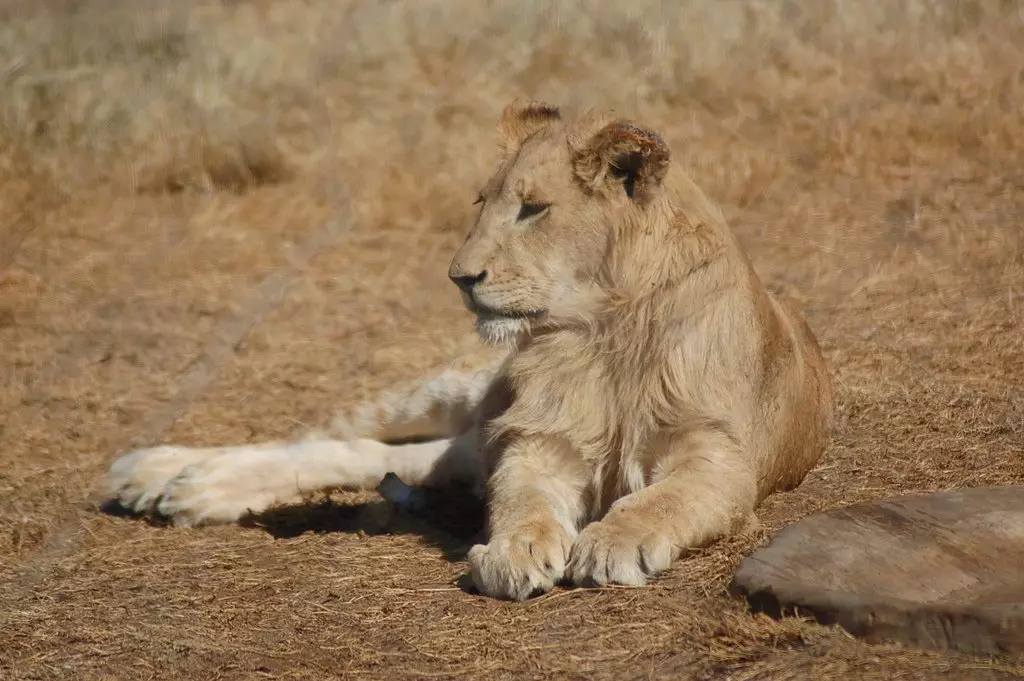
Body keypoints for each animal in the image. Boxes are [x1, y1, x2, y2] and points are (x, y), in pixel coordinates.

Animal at [110, 99, 831, 602]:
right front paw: (515, 552)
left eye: (533, 209)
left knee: (374, 457)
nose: (460, 277)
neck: (602, 332)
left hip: (463, 443)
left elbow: (661, 499)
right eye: (482, 202)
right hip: (450, 396)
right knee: (323, 437)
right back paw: (164, 473)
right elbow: (523, 501)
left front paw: (611, 543)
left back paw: (186, 488)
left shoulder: (720, 459)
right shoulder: (537, 441)